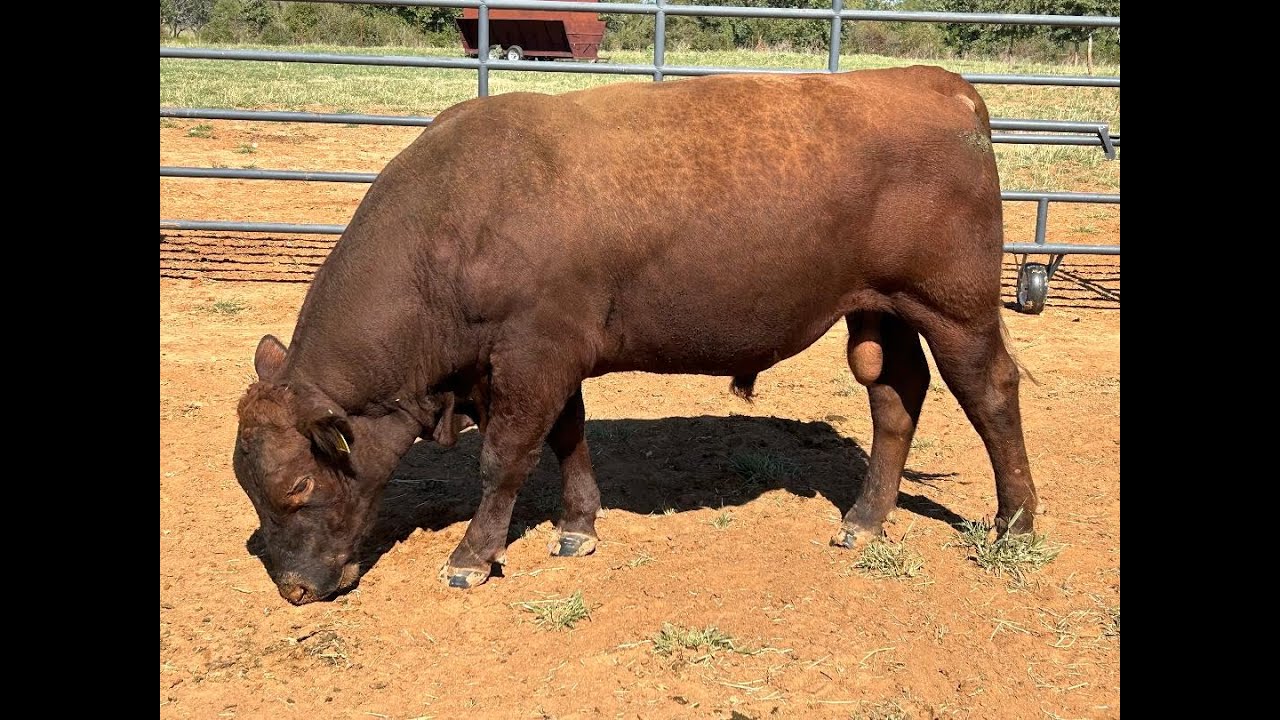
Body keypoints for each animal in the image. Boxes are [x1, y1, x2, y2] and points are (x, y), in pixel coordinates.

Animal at [233, 65, 1039, 605]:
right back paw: (866, 519)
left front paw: (472, 555)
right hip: (885, 309)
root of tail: (938, 84)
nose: (294, 589)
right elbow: (569, 438)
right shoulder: (552, 358)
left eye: (298, 484)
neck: (457, 220)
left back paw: (1016, 521)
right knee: (896, 396)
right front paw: (577, 526)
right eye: (248, 486)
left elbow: (504, 459)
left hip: (956, 307)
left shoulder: (530, 357)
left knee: (990, 393)